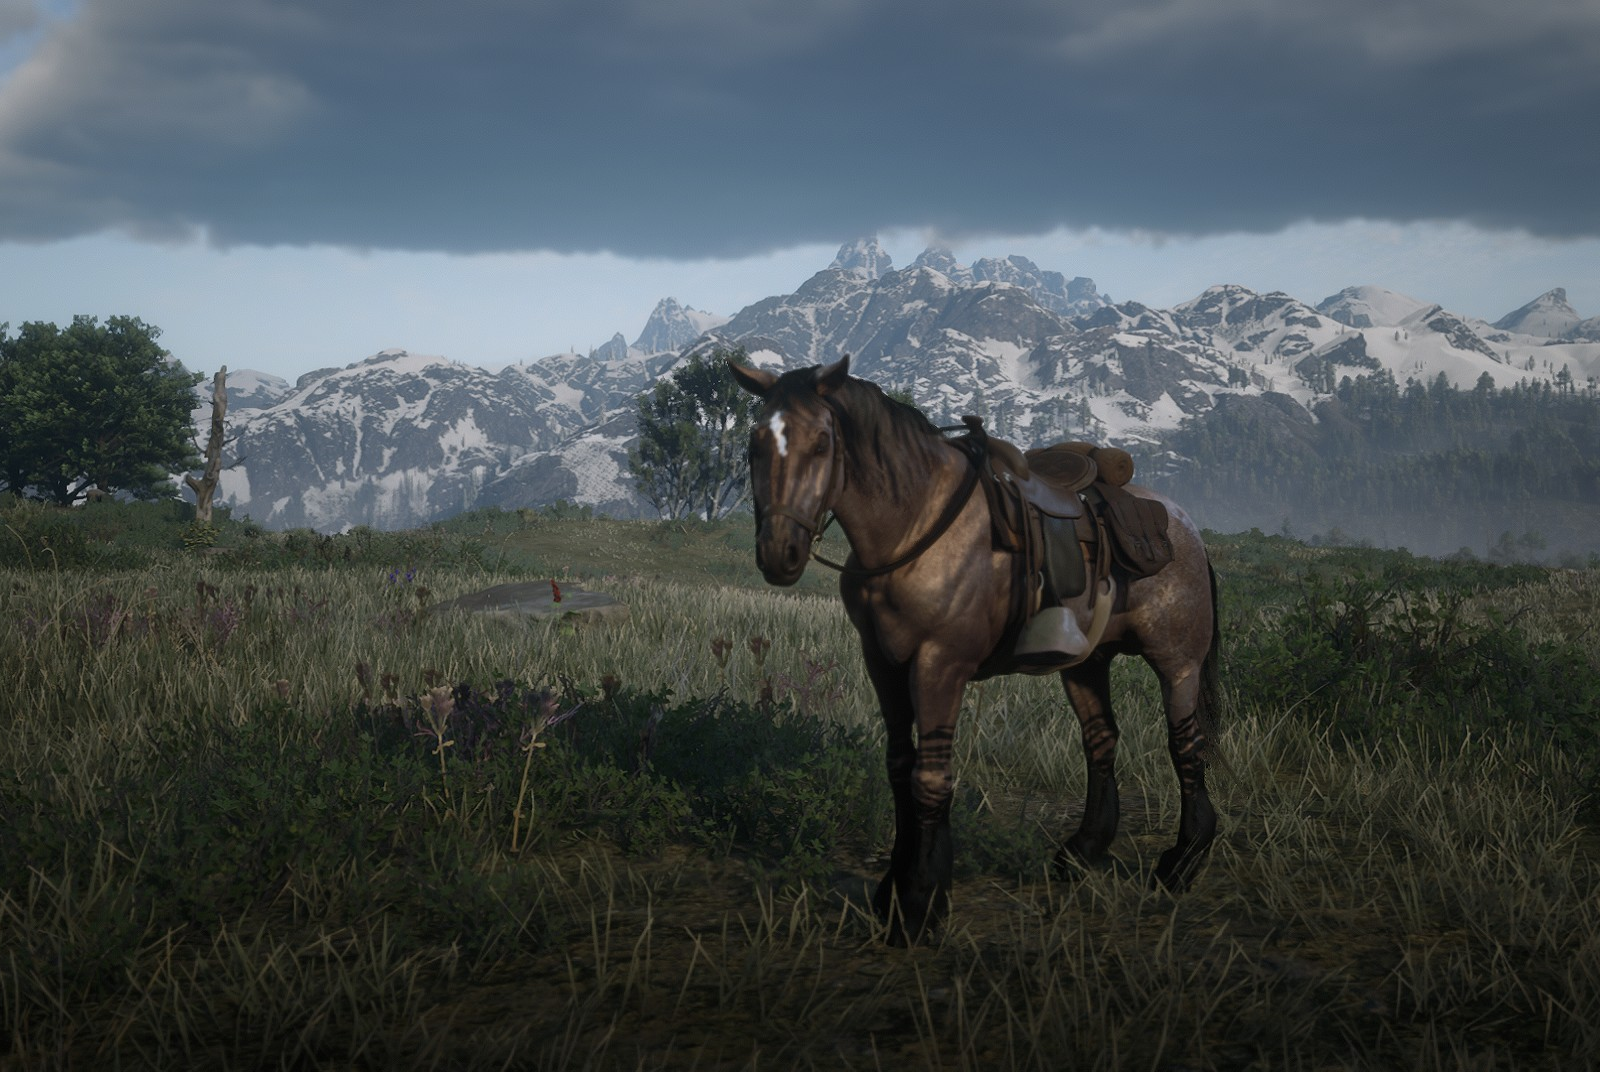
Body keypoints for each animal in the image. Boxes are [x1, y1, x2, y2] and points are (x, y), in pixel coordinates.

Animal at [730, 355, 1220, 943]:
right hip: (1086, 664)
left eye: (823, 443)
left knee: (1185, 745)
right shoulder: (883, 664)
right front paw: (894, 888)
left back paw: (1185, 859)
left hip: (1178, 662)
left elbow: (929, 779)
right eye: (755, 444)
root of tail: (1186, 527)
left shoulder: (940, 665)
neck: (913, 526)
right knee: (1100, 741)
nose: (778, 553)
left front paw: (920, 900)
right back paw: (1082, 851)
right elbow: (900, 769)